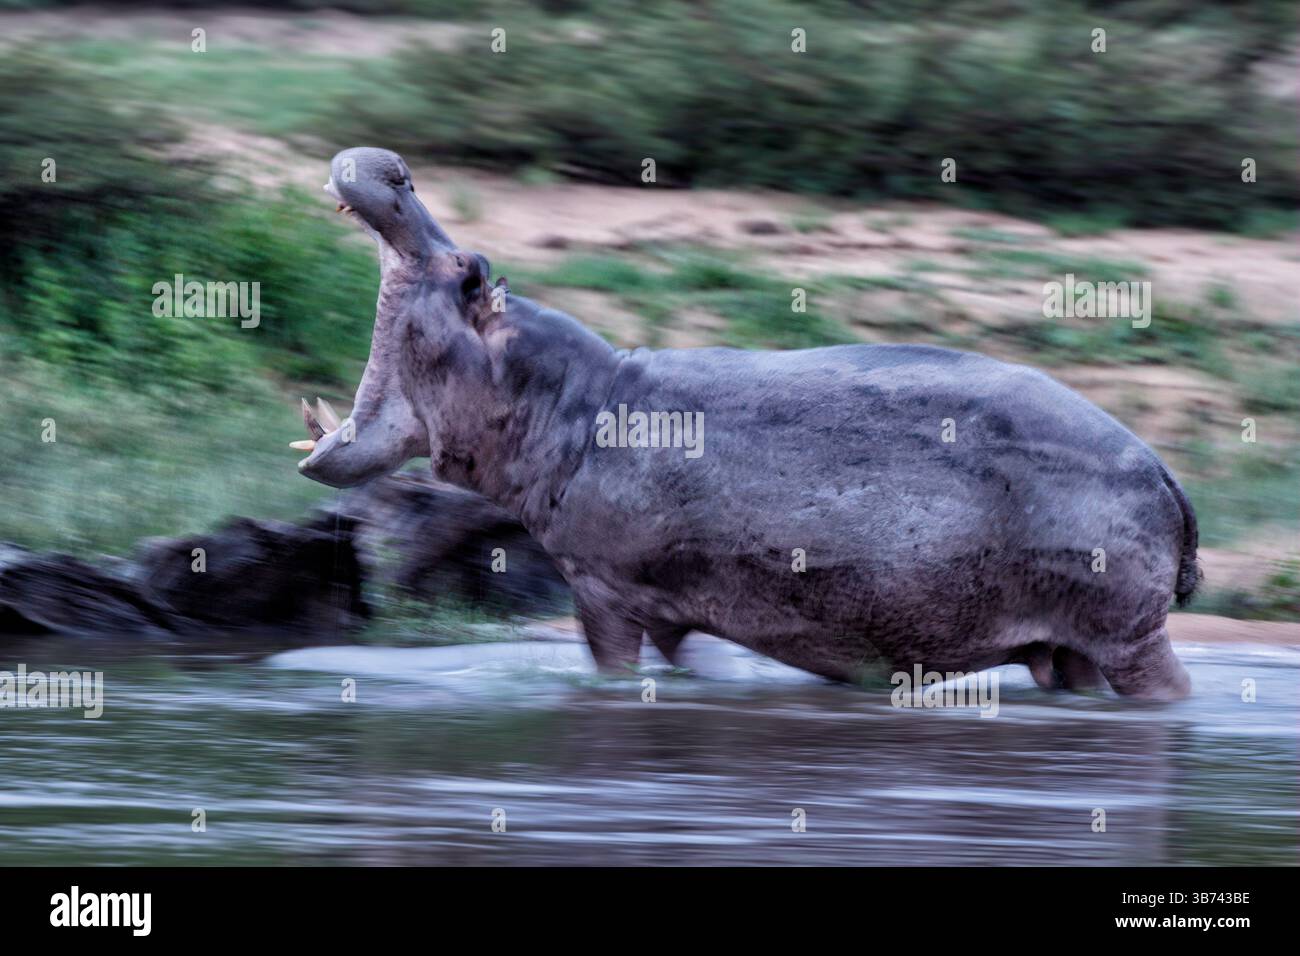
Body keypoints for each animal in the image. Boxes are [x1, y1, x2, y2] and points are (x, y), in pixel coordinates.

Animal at [295, 147, 1197, 700]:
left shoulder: (602, 589)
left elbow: (609, 666)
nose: (399, 169)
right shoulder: (669, 608)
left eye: (469, 270)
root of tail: (1159, 464)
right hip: (1070, 647)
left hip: (1126, 635)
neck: (563, 398)